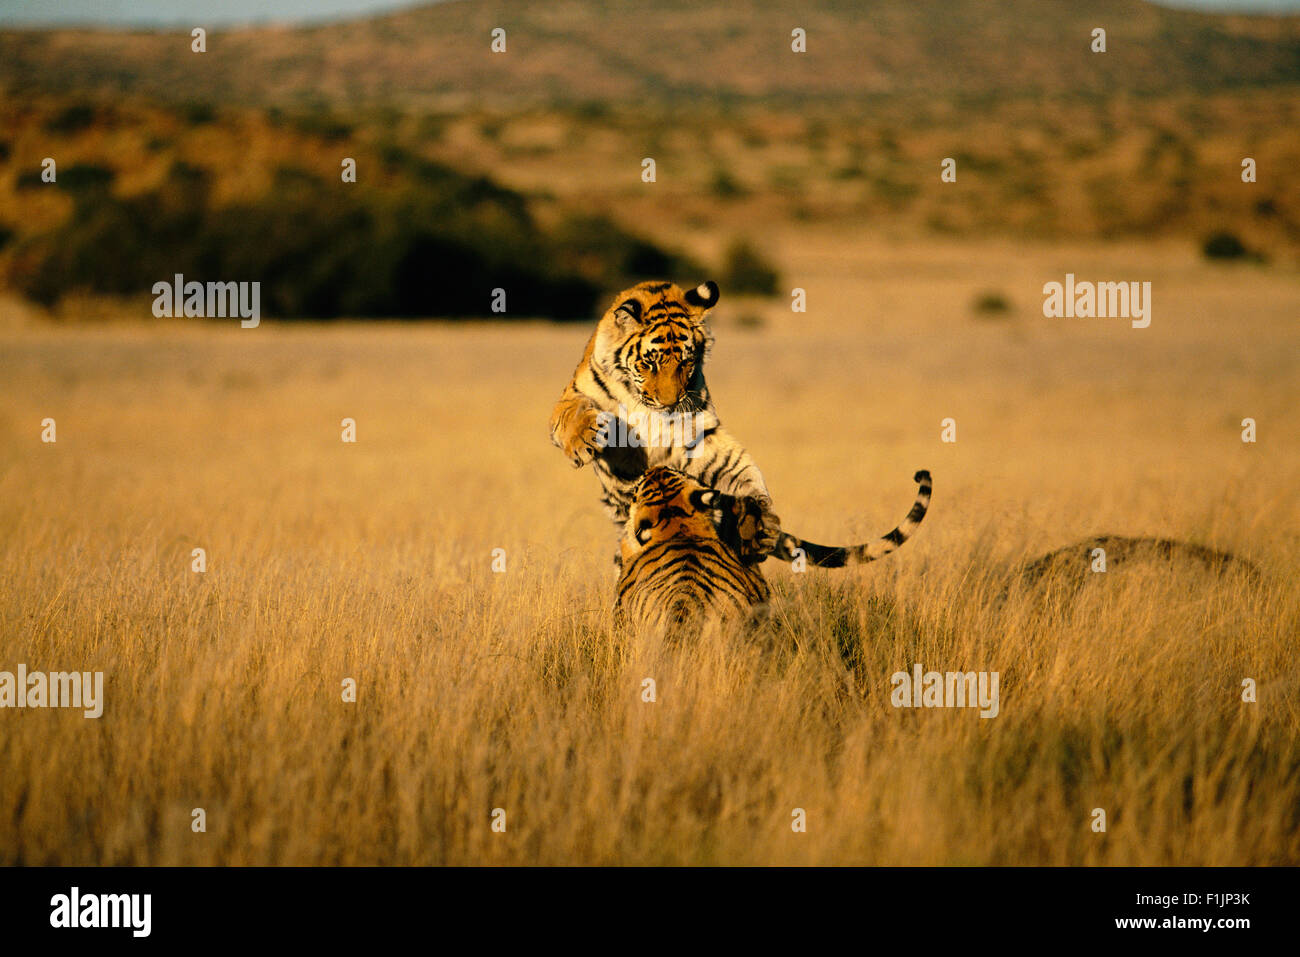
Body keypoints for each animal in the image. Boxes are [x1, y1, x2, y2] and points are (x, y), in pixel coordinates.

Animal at [550, 278, 931, 567]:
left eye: (686, 362)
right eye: (650, 362)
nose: (669, 402)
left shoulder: (694, 434)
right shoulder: (573, 395)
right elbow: (574, 413)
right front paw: (586, 437)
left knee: (749, 486)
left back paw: (758, 523)